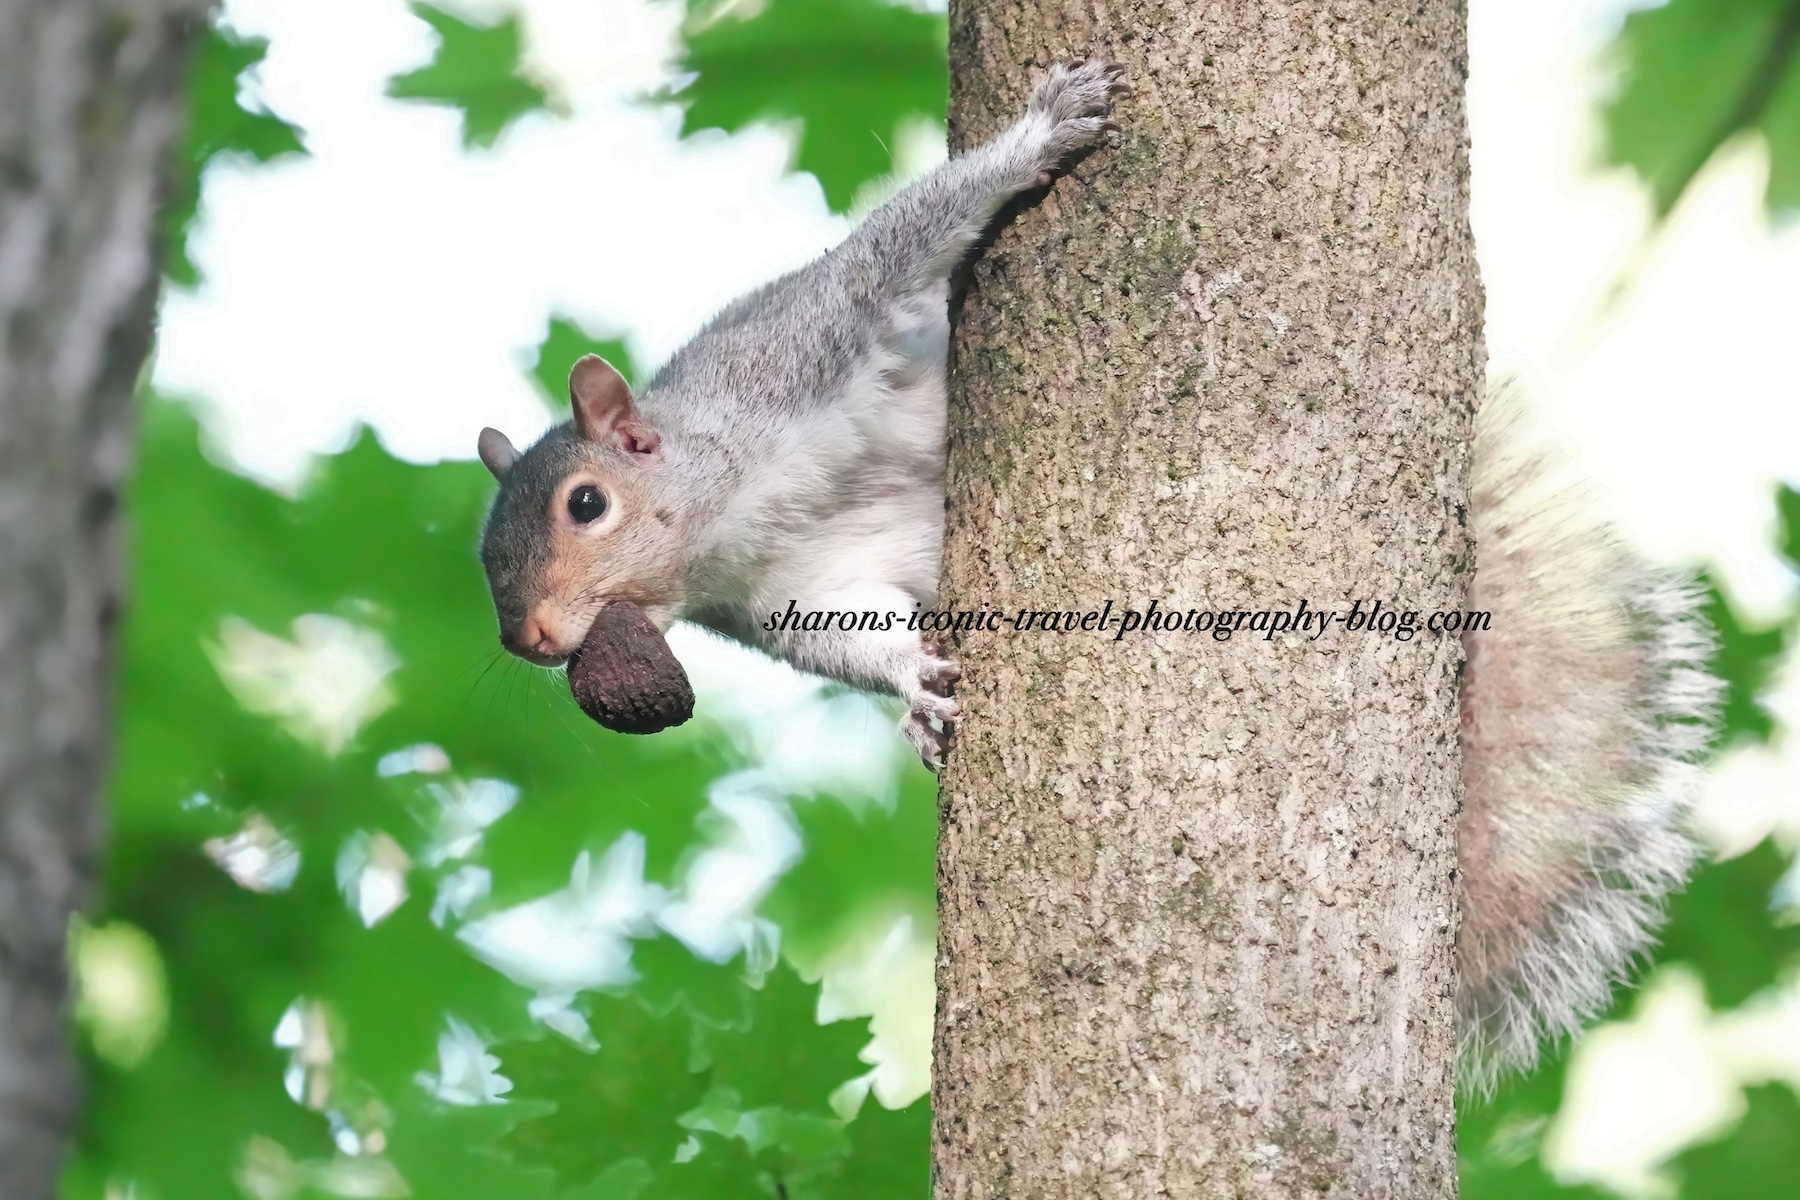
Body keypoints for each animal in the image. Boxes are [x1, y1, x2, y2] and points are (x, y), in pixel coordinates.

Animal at [472, 61, 1720, 1089]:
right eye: (489, 558)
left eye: (586, 504)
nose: (530, 640)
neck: (727, 506)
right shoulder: (788, 584)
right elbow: (853, 633)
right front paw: (916, 694)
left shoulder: (807, 343)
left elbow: (902, 242)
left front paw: (1040, 132)